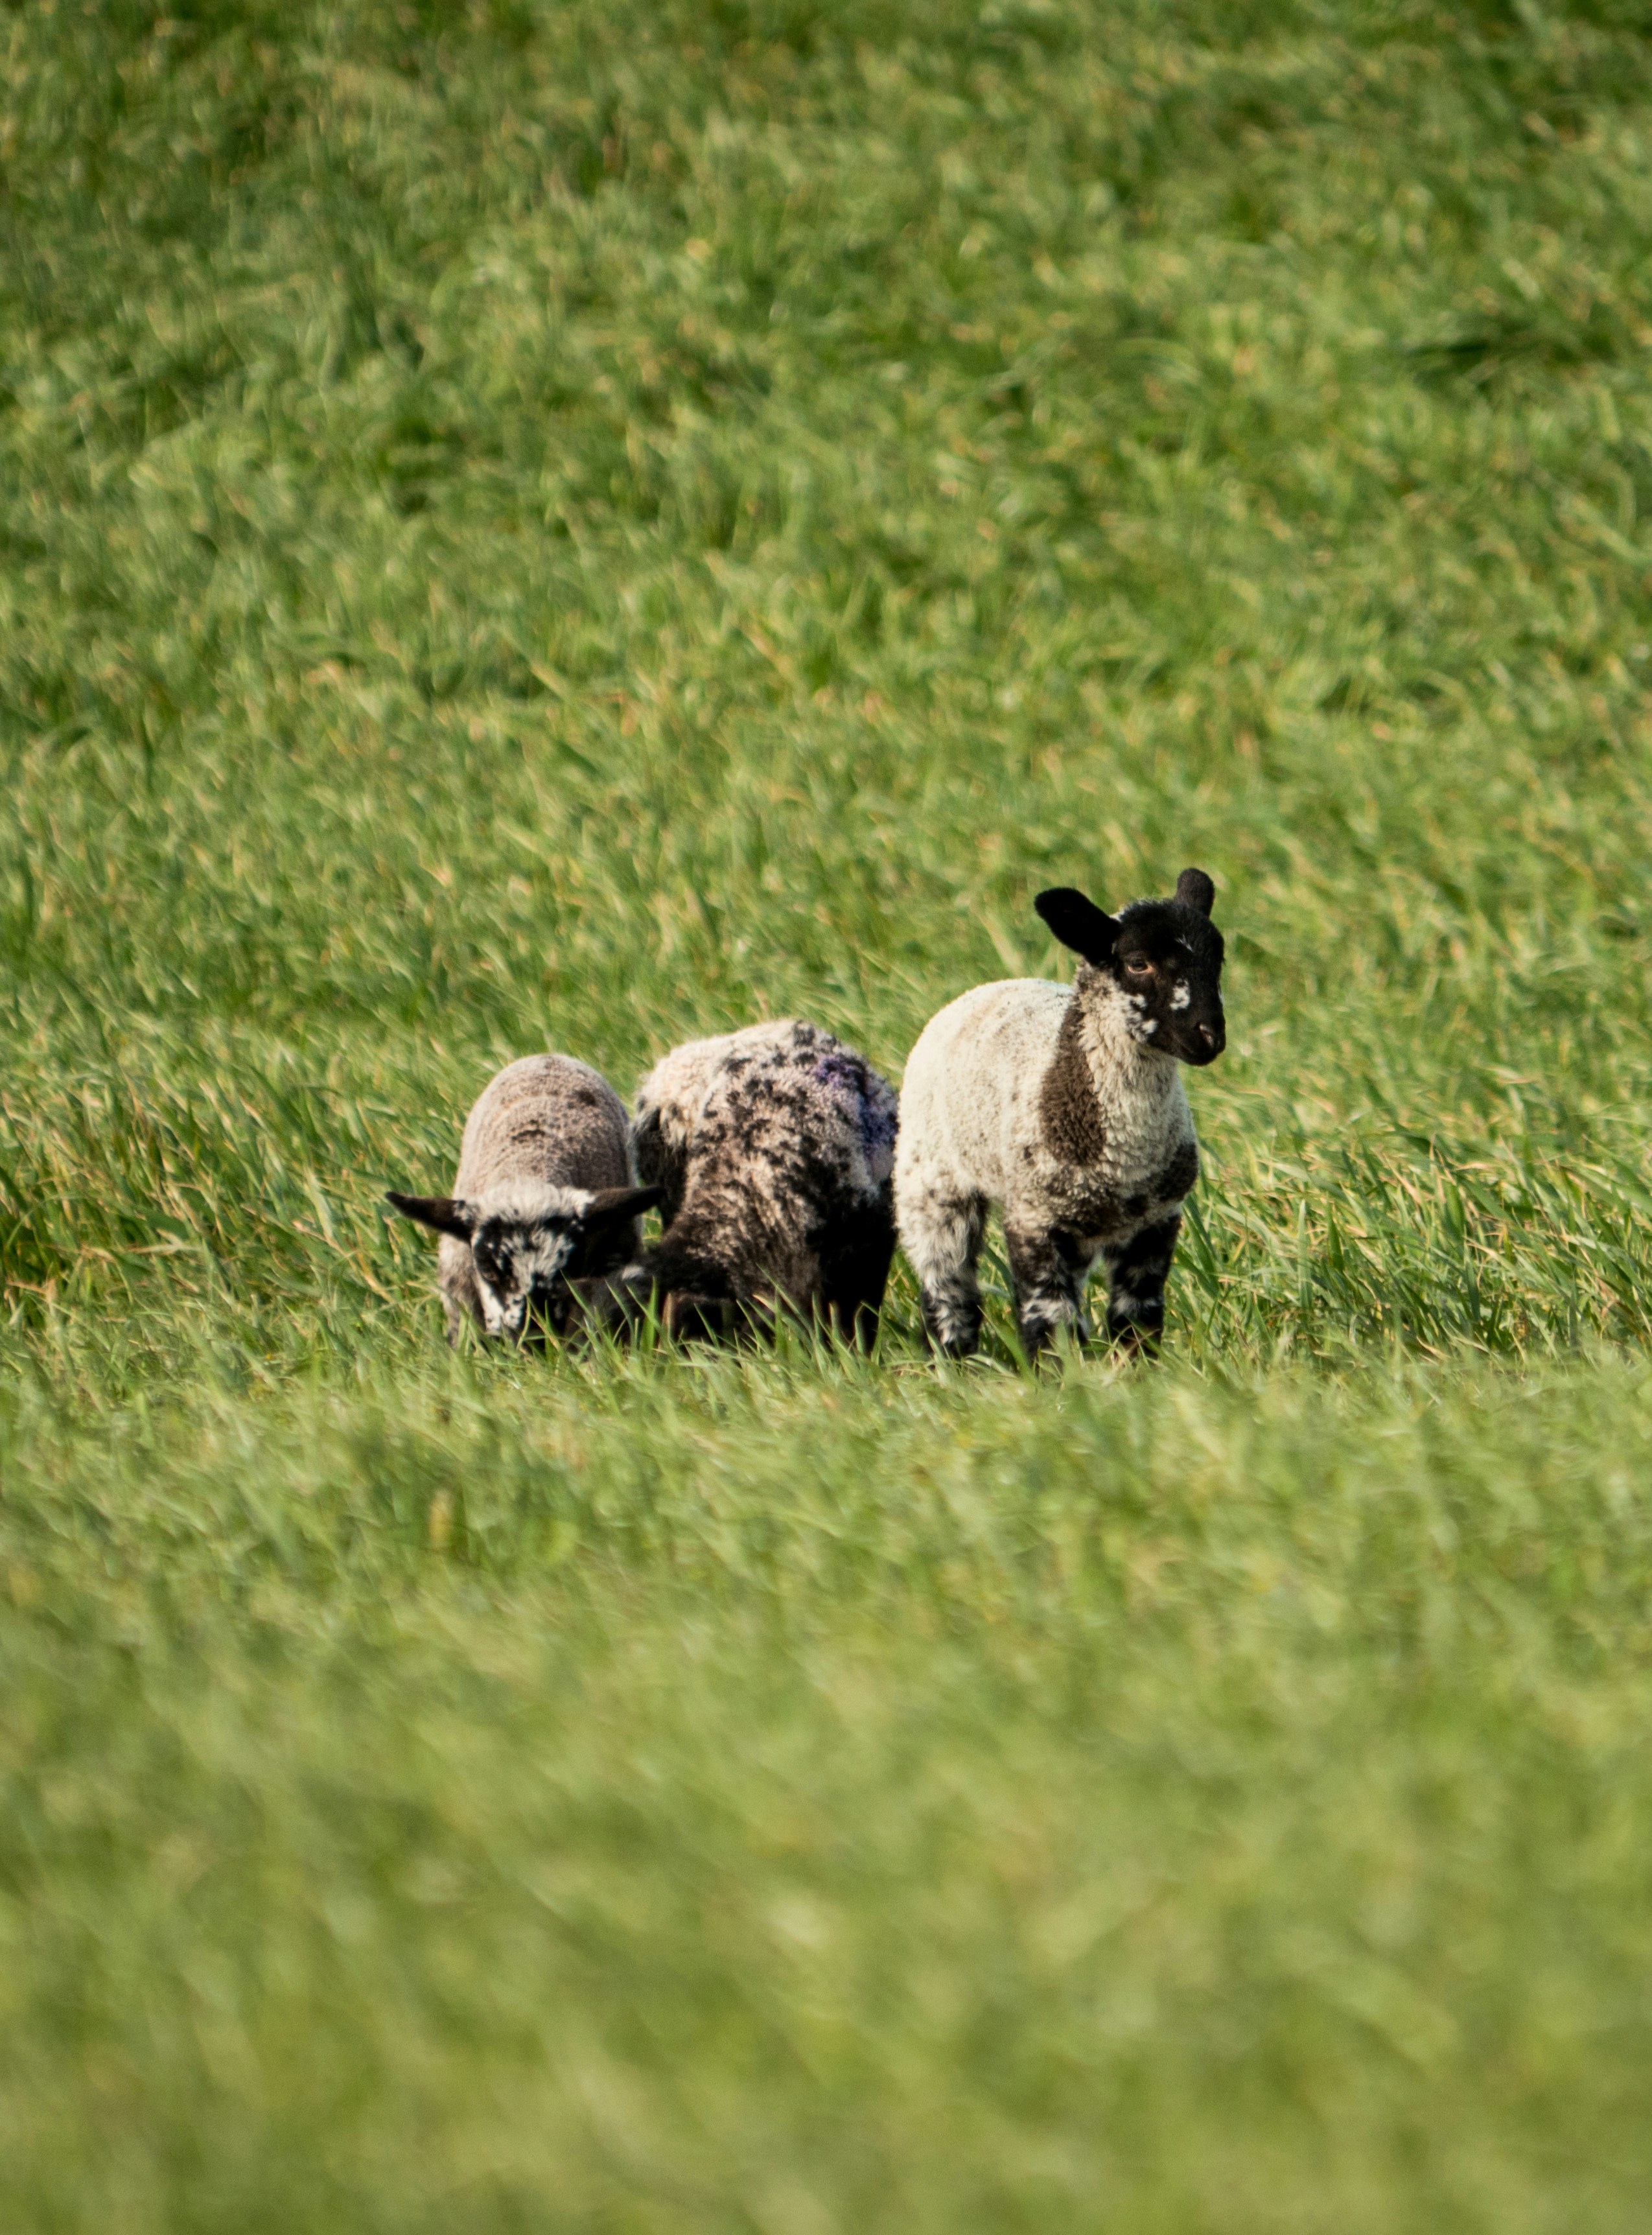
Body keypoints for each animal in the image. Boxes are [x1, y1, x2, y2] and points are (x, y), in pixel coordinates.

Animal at [894, 868, 1225, 1360]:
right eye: (1137, 963)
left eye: (1218, 959)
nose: (1209, 1037)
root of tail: (986, 988)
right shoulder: (1033, 1218)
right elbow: (1050, 1319)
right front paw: (1060, 1375)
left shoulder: (1157, 1220)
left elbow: (1137, 1317)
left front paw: (1139, 1370)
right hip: (930, 1178)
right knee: (947, 1283)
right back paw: (949, 1359)